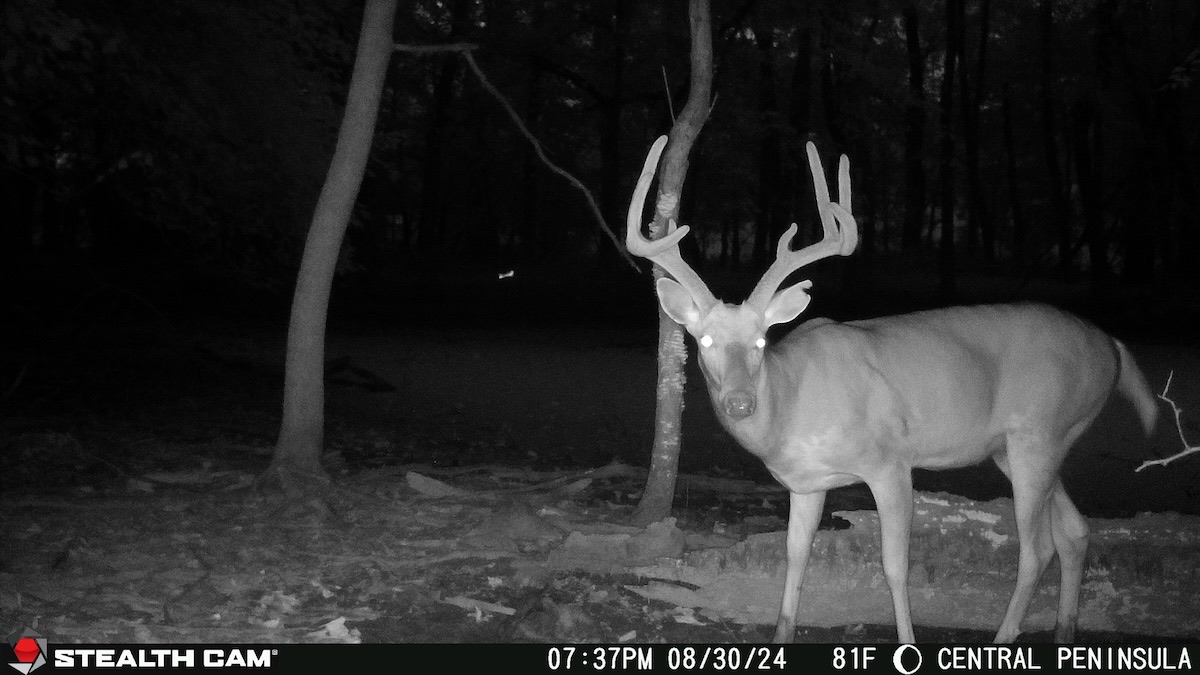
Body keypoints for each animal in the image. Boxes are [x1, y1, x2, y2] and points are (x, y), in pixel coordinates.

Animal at [625, 135, 1158, 644]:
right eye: (705, 340)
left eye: (761, 340)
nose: (739, 401)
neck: (792, 406)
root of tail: (1110, 345)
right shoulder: (806, 482)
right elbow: (795, 555)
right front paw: (781, 634)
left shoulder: (891, 462)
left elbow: (894, 567)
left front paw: (907, 640)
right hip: (1022, 446)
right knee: (1076, 532)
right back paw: (1065, 630)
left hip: (1037, 434)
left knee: (1038, 547)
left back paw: (1003, 637)